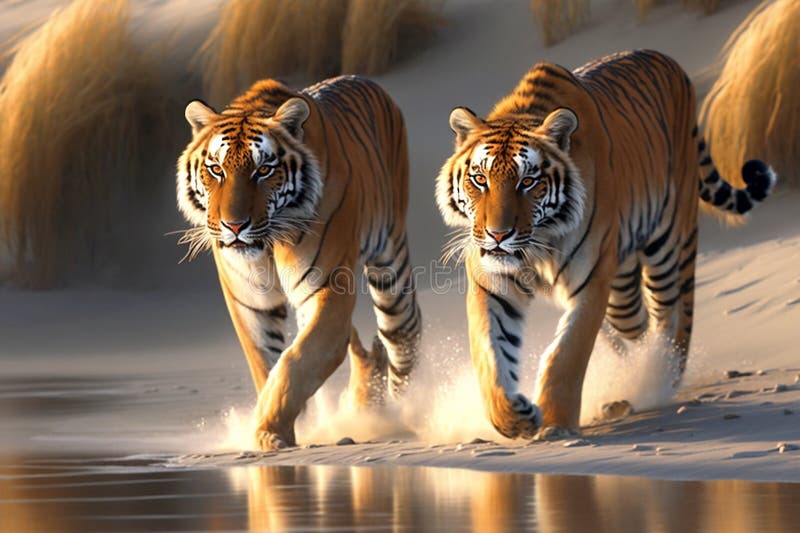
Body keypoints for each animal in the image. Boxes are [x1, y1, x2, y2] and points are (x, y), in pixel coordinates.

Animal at [176, 76, 422, 450]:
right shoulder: (251, 303)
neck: (268, 242)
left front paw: (269, 431)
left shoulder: (326, 289)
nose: (234, 226)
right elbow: (267, 365)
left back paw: (394, 415)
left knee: (403, 332)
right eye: (216, 170)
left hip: (390, 264)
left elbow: (296, 362)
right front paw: (282, 428)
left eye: (263, 170)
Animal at [436, 49, 776, 440]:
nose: (498, 234)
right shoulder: (492, 282)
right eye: (480, 179)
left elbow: (567, 354)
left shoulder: (592, 278)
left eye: (528, 181)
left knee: (673, 316)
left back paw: (659, 378)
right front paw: (513, 418)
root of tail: (669, 61)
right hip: (623, 284)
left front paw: (555, 425)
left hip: (672, 240)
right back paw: (628, 388)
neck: (539, 242)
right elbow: (489, 353)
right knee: (635, 329)